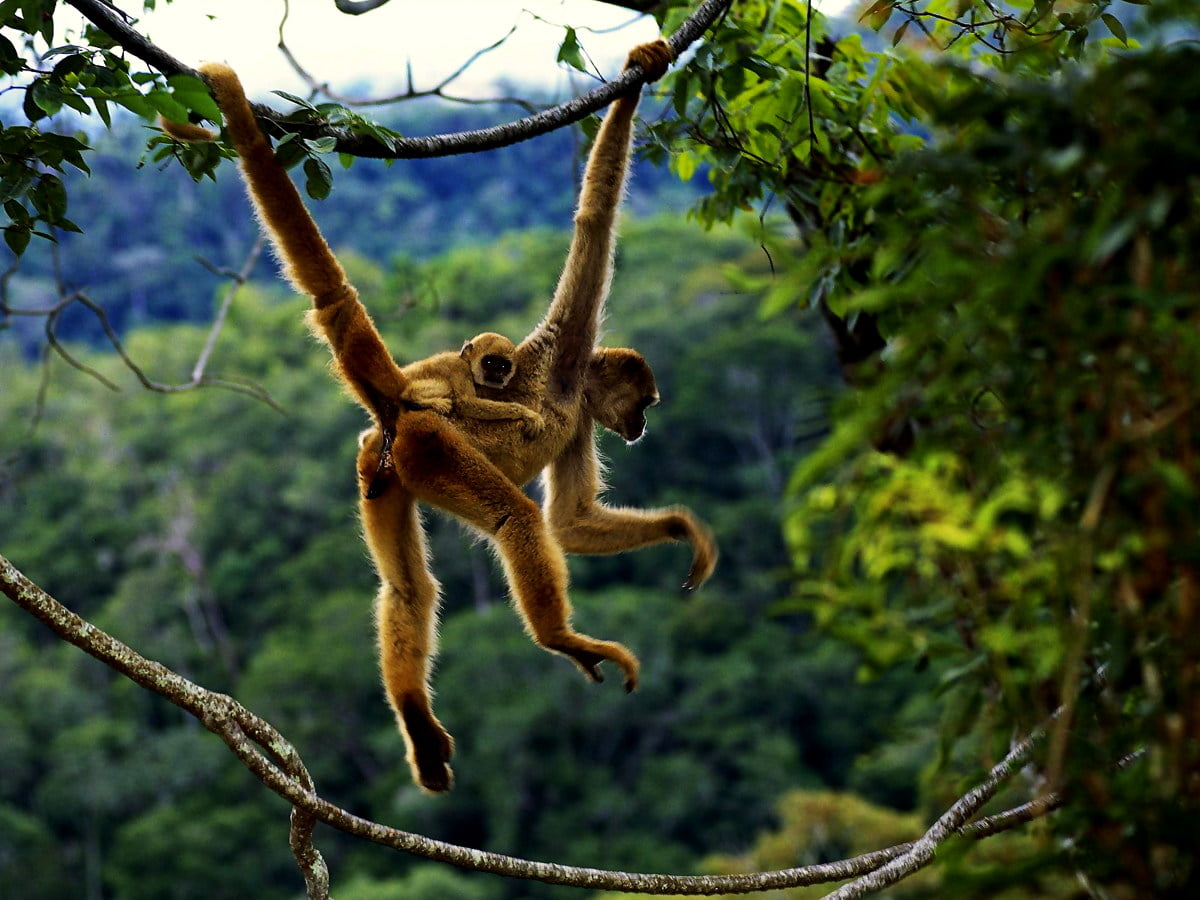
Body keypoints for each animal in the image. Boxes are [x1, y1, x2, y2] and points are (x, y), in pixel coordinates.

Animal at [166, 41, 717, 793]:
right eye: (646, 402)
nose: (643, 428)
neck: (573, 391)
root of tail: (398, 405)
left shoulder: (577, 422)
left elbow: (572, 521)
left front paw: (680, 529)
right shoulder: (568, 350)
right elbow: (595, 221)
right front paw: (637, 76)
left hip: (383, 469)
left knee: (407, 588)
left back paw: (418, 722)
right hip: (431, 448)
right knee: (514, 519)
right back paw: (561, 639)